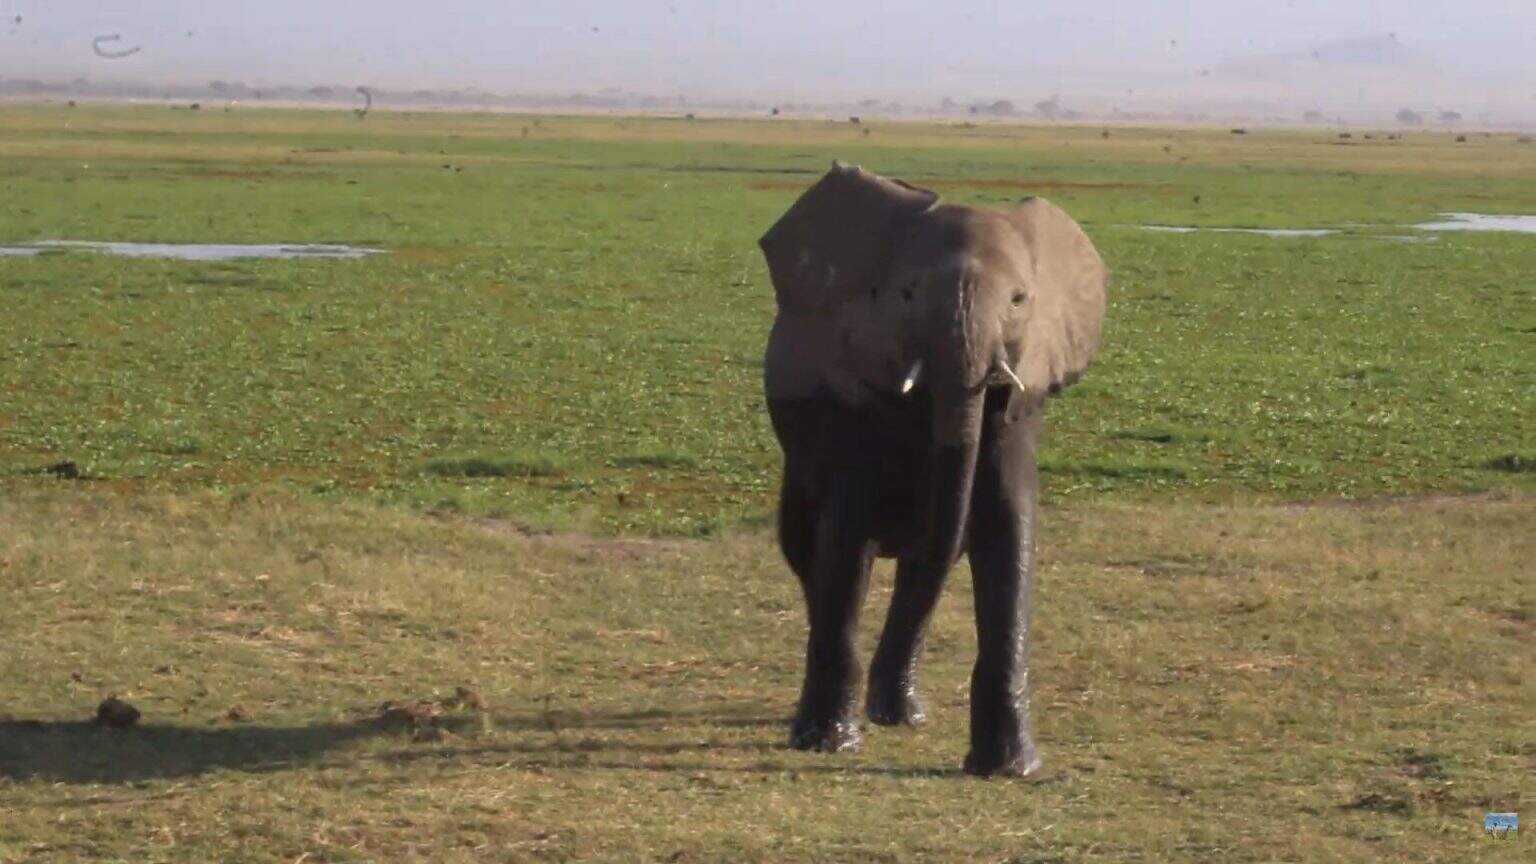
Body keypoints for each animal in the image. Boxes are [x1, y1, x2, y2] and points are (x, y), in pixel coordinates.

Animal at [758, 162, 1107, 776]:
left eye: (1019, 299)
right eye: (906, 294)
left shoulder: (1021, 392)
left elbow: (1008, 530)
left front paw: (1010, 769)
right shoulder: (853, 398)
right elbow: (845, 544)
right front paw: (829, 743)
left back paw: (901, 714)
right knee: (808, 554)